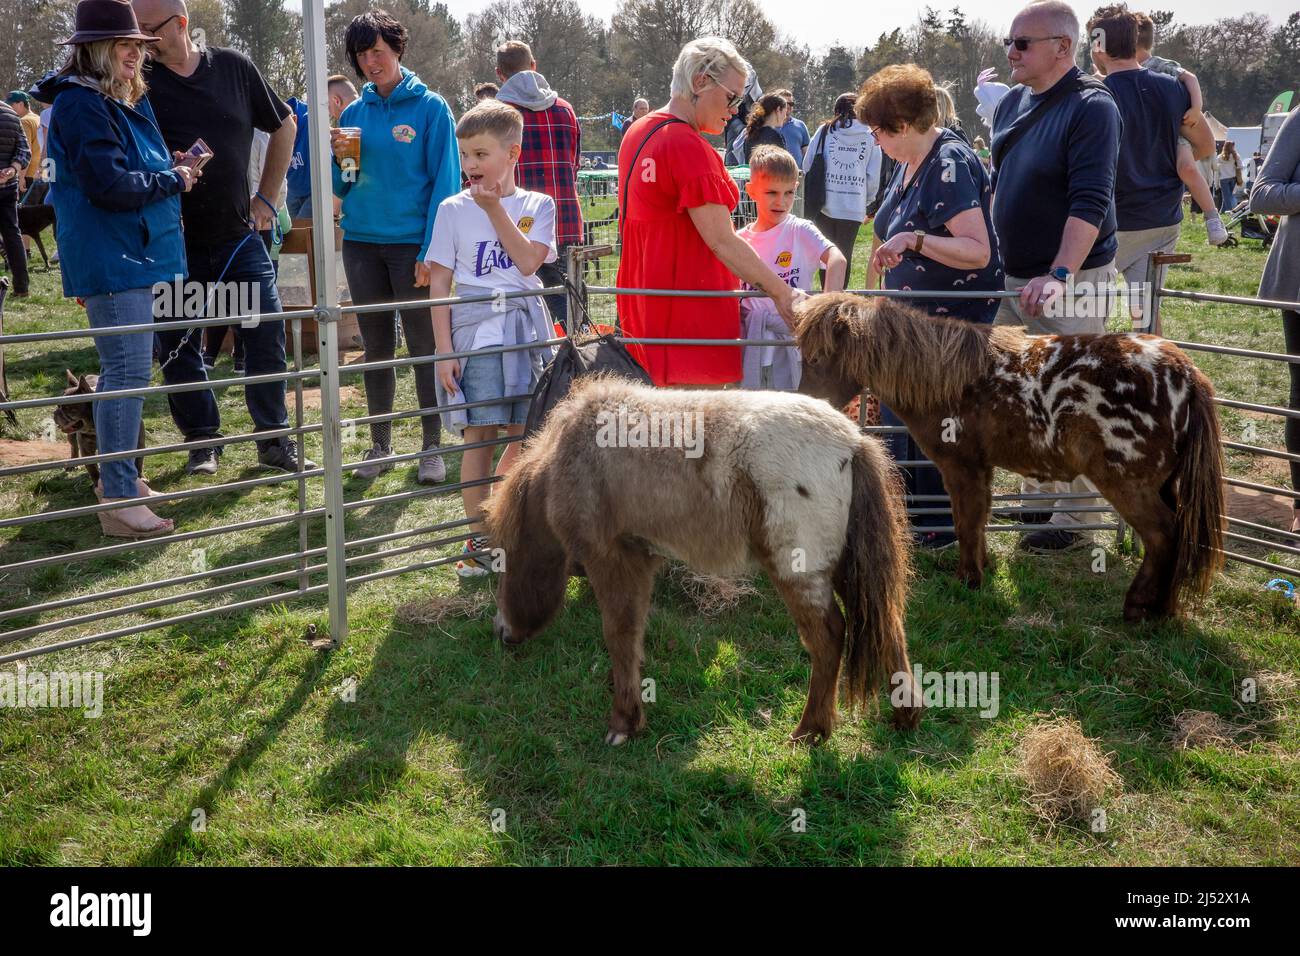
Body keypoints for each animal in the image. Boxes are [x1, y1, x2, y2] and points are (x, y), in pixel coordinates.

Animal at [483, 375, 922, 746]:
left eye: (504, 561)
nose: (501, 631)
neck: (576, 456)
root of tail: (853, 442)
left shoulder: (610, 559)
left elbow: (618, 635)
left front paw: (623, 723)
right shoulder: (641, 560)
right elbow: (633, 633)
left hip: (800, 571)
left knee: (829, 637)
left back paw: (810, 730)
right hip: (847, 566)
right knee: (889, 623)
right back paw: (905, 716)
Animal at [795, 293, 1225, 623]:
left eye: (816, 359)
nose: (806, 404)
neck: (954, 382)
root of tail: (1186, 374)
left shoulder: (961, 468)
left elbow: (966, 524)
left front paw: (968, 580)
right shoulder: (980, 469)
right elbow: (979, 521)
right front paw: (982, 570)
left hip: (1127, 485)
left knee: (1163, 536)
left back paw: (1138, 607)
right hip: (1163, 485)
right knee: (1180, 537)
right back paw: (1164, 607)